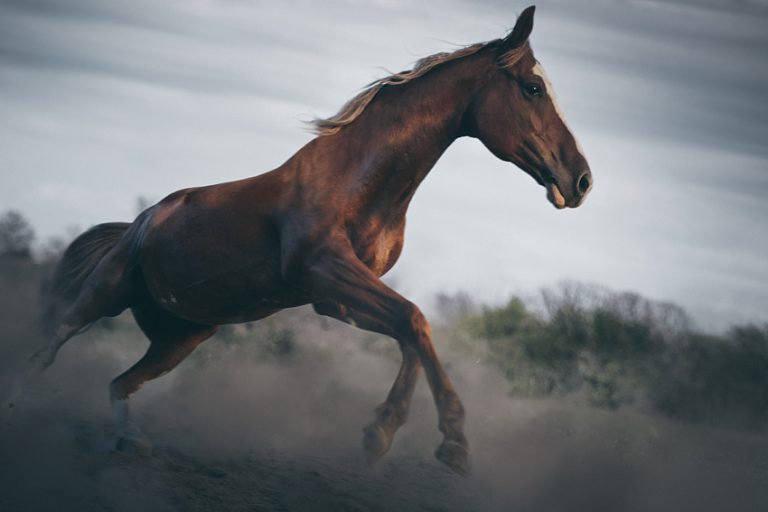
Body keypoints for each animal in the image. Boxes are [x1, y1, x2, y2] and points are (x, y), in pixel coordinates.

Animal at [30, 6, 591, 476]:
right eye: (532, 88)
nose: (581, 180)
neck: (358, 179)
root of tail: (139, 224)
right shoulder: (325, 271)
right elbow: (415, 320)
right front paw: (453, 443)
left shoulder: (330, 298)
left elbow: (410, 331)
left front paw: (379, 432)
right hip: (104, 296)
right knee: (50, 345)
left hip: (183, 336)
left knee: (119, 383)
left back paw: (131, 442)